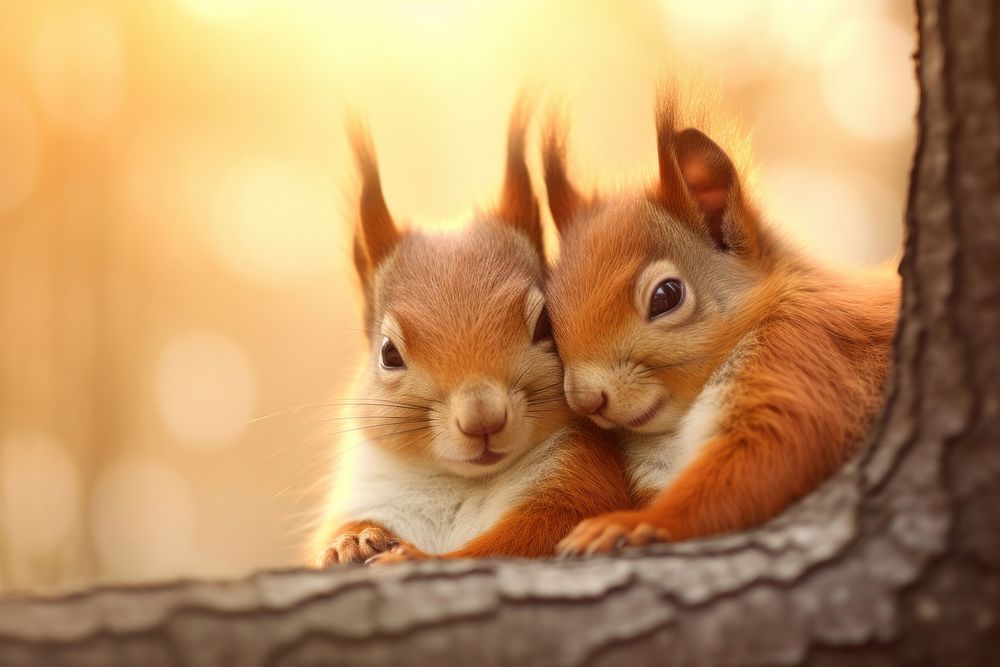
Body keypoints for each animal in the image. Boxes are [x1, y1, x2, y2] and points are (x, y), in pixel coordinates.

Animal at [312, 105, 633, 566]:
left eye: (545, 325)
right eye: (388, 353)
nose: (483, 419)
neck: (463, 481)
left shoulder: (583, 480)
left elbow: (526, 539)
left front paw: (411, 558)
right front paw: (349, 542)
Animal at [539, 89, 900, 555]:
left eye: (666, 296)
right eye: (548, 316)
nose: (586, 401)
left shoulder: (805, 353)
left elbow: (770, 452)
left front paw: (630, 524)